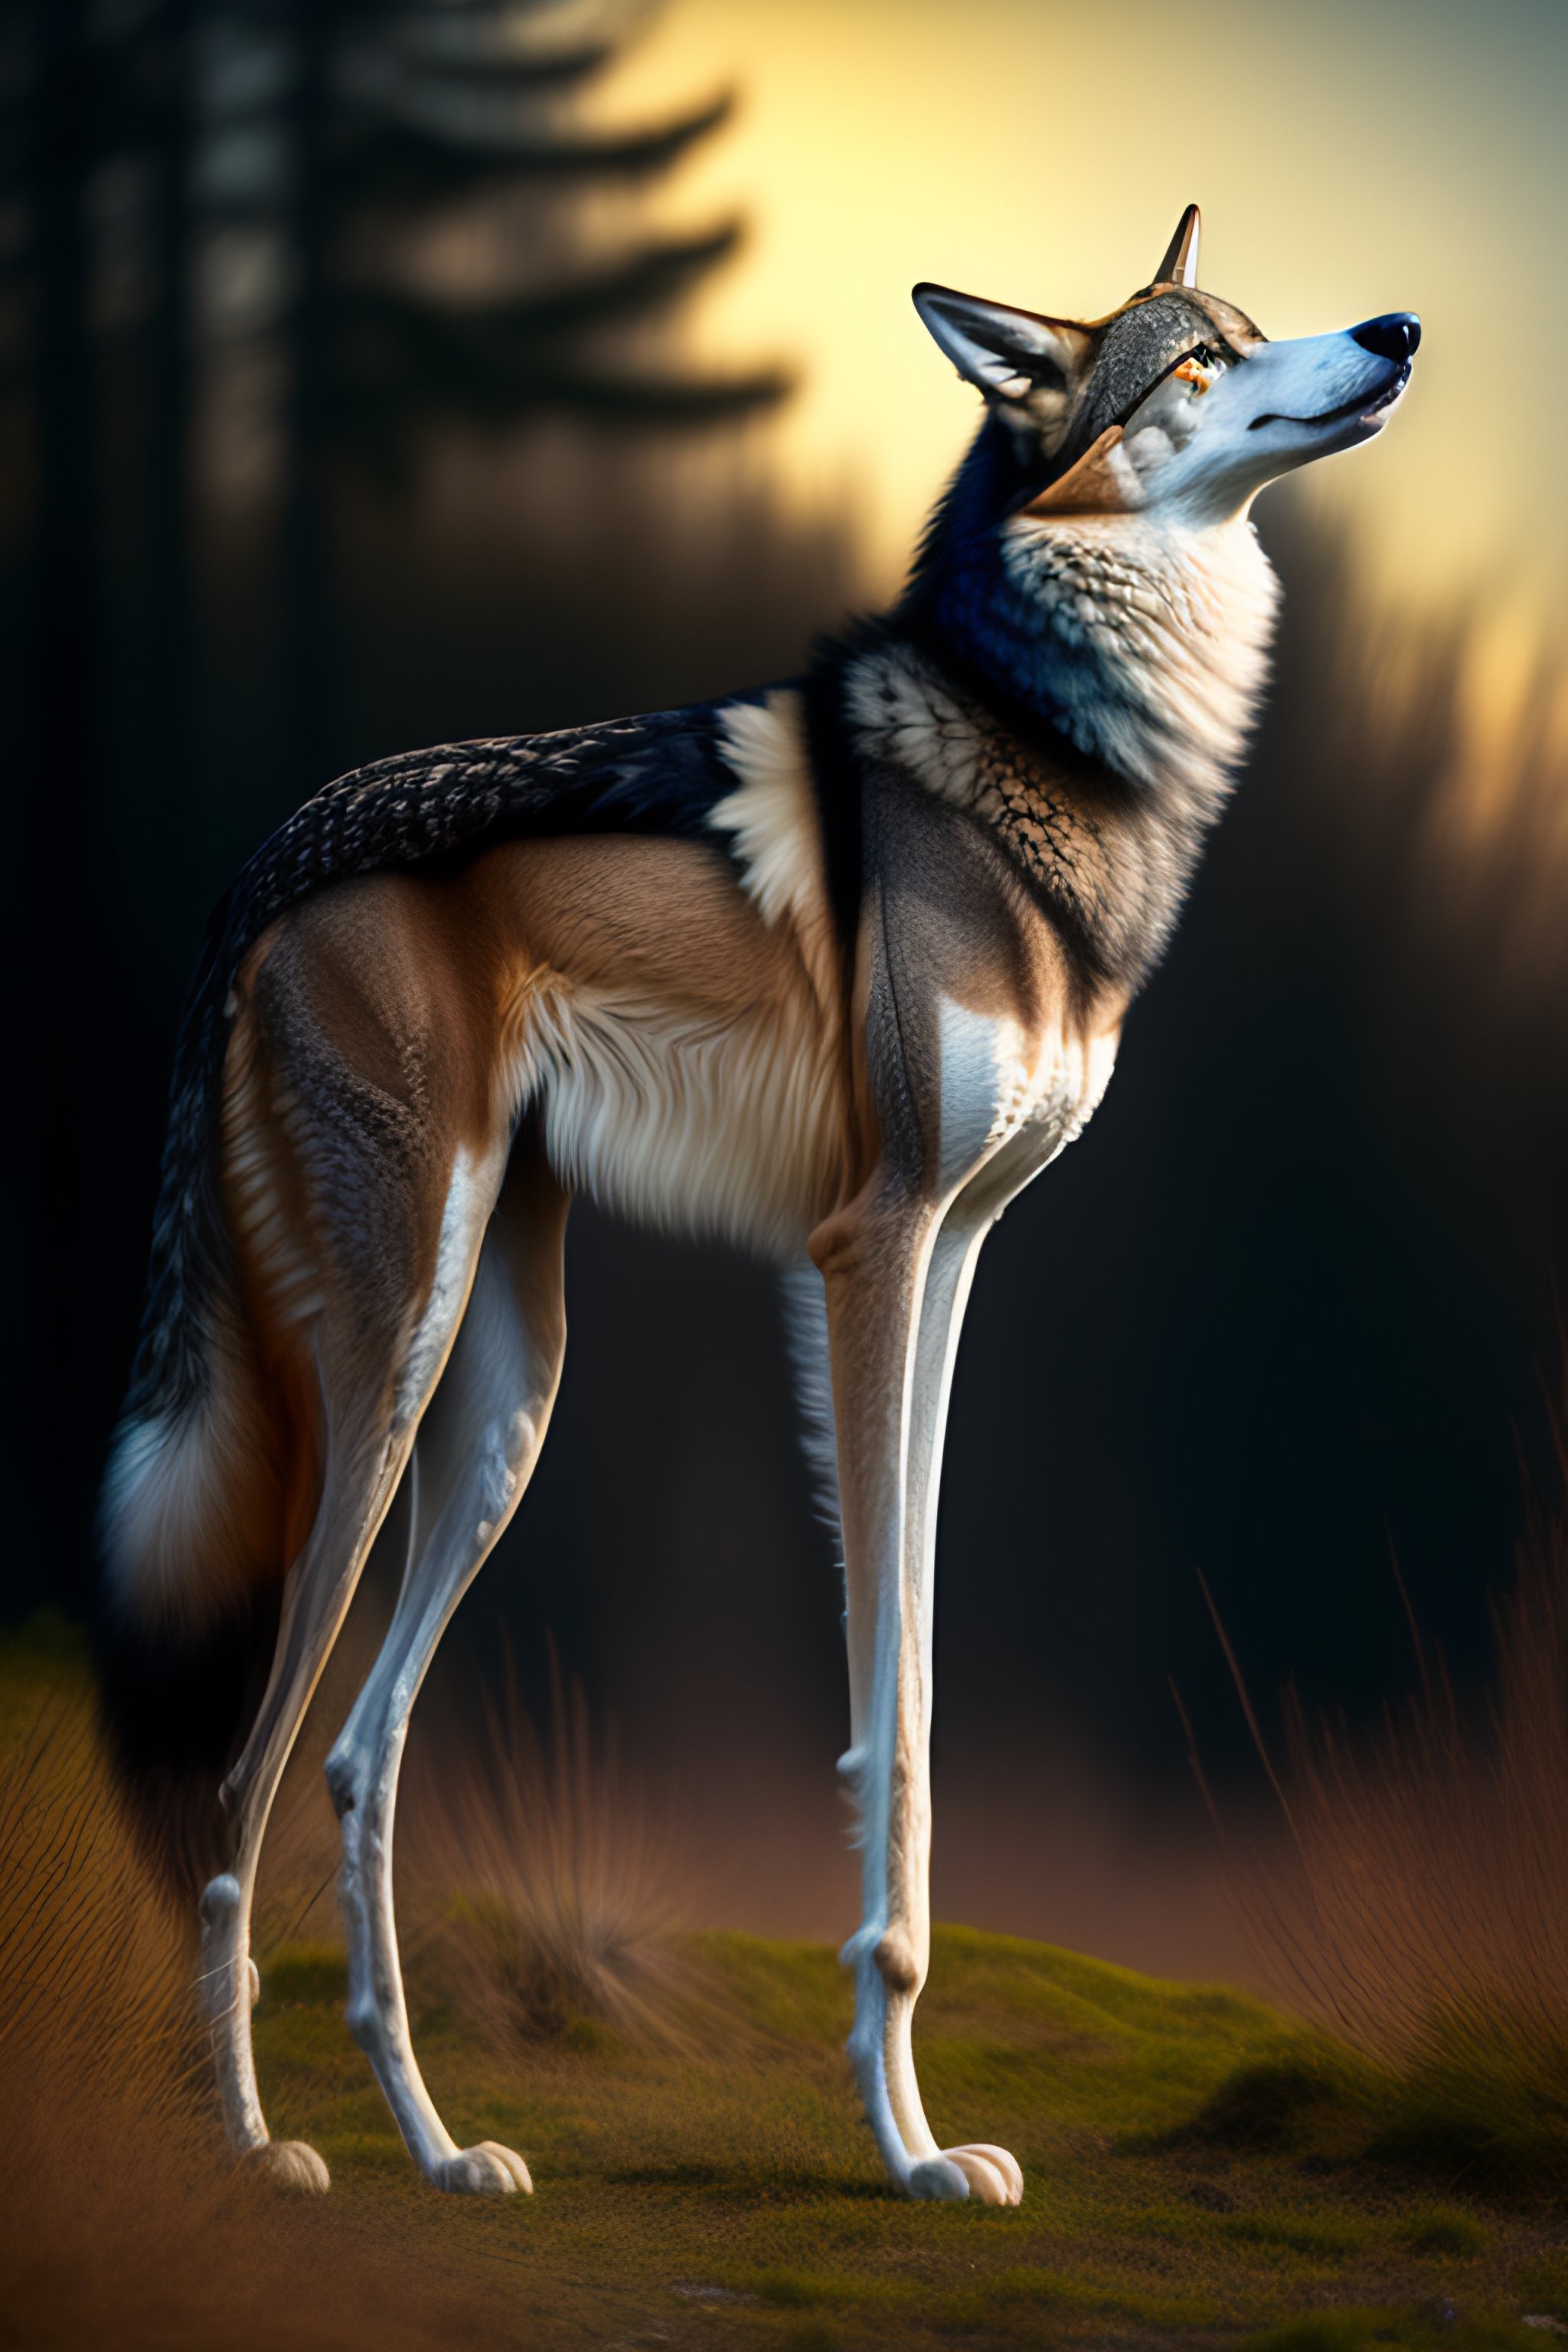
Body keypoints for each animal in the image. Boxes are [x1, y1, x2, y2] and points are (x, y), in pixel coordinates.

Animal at [98, 207, 1417, 2207]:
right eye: (1196, 357)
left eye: (1258, 327)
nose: (1396, 331)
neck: (1064, 759)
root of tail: (277, 844)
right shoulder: (868, 1244)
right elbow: (877, 1703)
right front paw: (905, 2148)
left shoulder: (959, 1259)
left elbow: (917, 1706)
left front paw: (918, 2129)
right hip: (391, 1375)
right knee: (246, 1768)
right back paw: (255, 2150)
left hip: (507, 1403)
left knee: (359, 1754)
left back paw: (440, 2151)